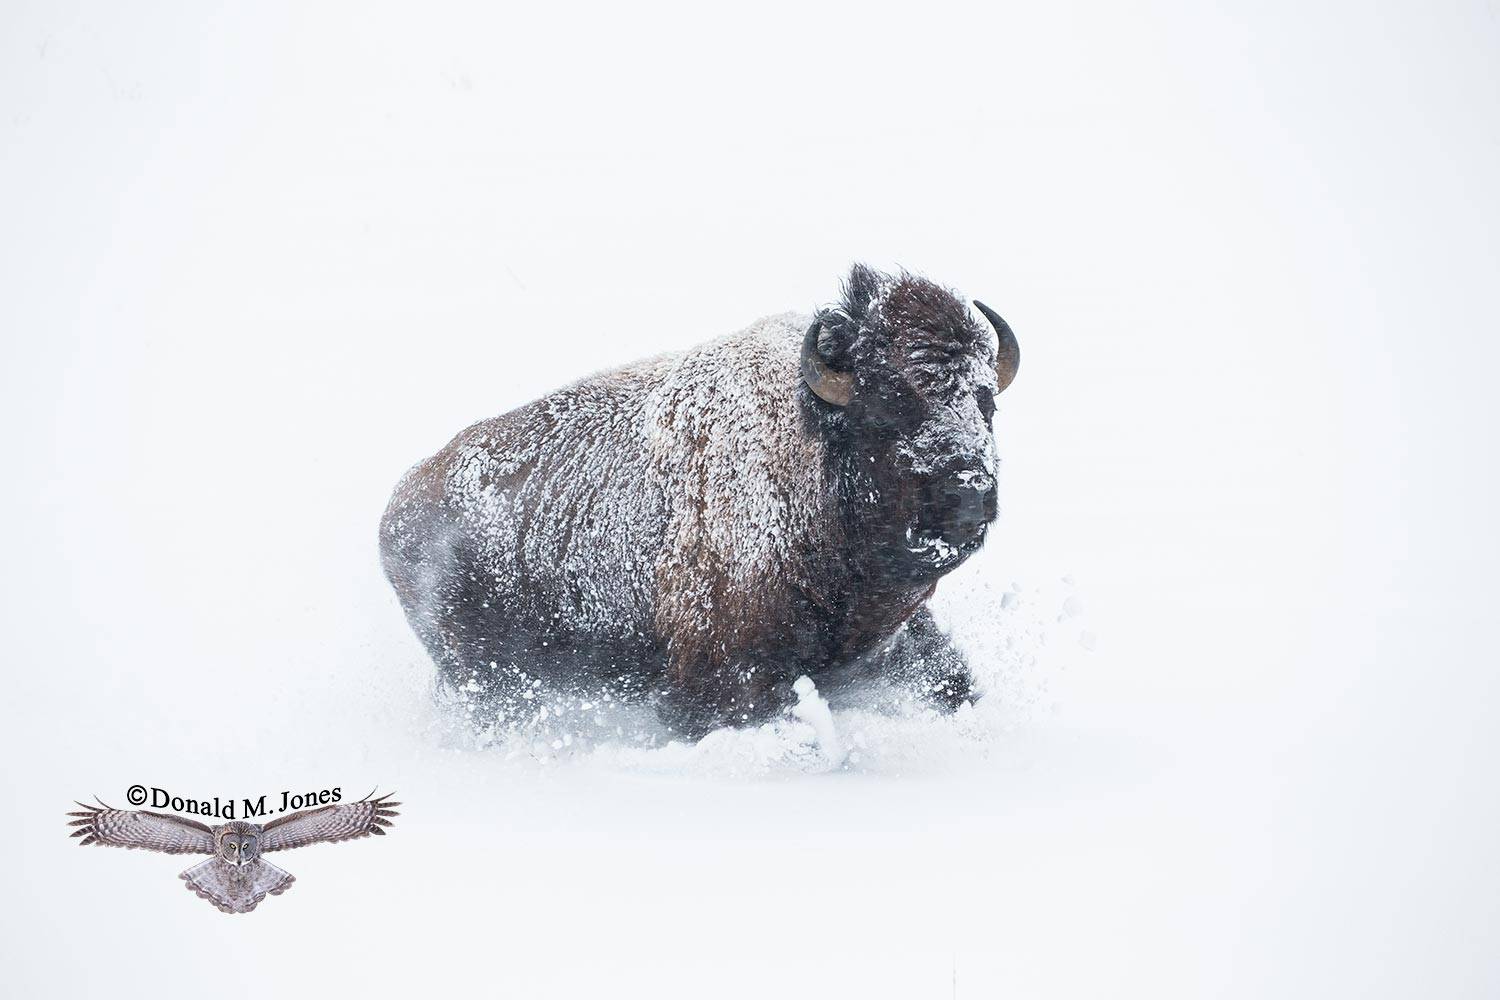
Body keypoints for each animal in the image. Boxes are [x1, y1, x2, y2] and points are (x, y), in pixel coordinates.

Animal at [380, 264, 1020, 736]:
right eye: (889, 405)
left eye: (984, 401)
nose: (970, 493)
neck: (815, 448)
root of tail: (397, 506)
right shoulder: (721, 672)